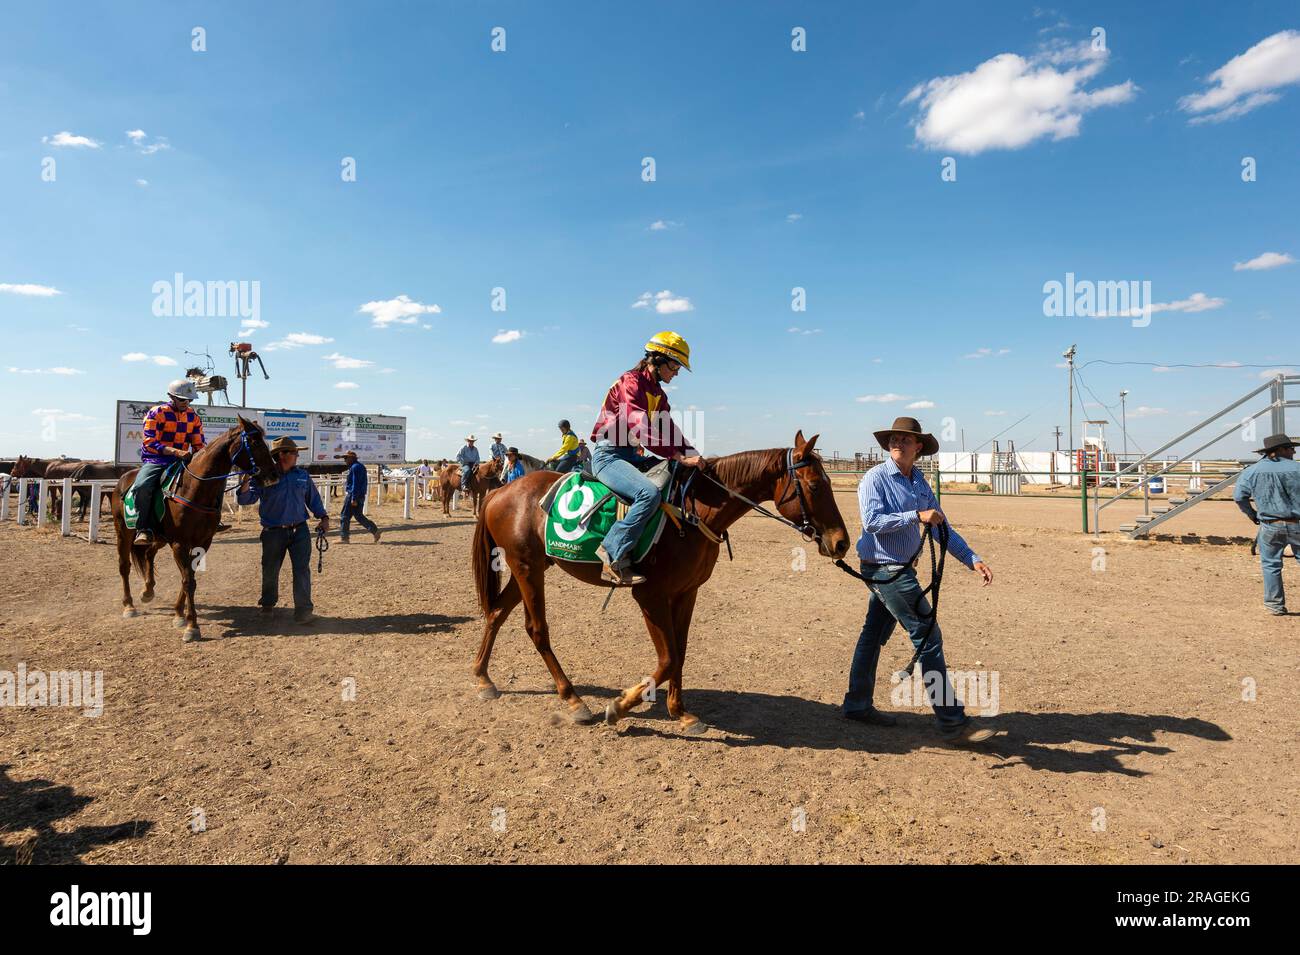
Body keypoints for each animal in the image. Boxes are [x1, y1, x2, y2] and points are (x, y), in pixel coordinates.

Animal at [110, 417, 279, 641]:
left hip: (160, 538)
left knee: (148, 554)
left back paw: (147, 591)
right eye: (255, 442)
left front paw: (179, 615)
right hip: (123, 531)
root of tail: (123, 480)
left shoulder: (202, 543)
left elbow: (189, 577)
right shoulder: (180, 543)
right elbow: (188, 581)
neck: (194, 489)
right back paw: (128, 605)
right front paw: (192, 625)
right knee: (124, 566)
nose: (274, 474)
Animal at [471, 430, 850, 734]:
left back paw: (483, 678)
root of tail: (501, 492)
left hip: (528, 568)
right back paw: (574, 700)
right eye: (815, 485)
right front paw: (620, 706)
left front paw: (679, 712)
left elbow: (679, 653)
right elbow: (667, 658)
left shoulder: (686, 593)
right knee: (537, 629)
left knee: (497, 614)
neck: (693, 511)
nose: (842, 543)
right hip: (528, 568)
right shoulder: (650, 595)